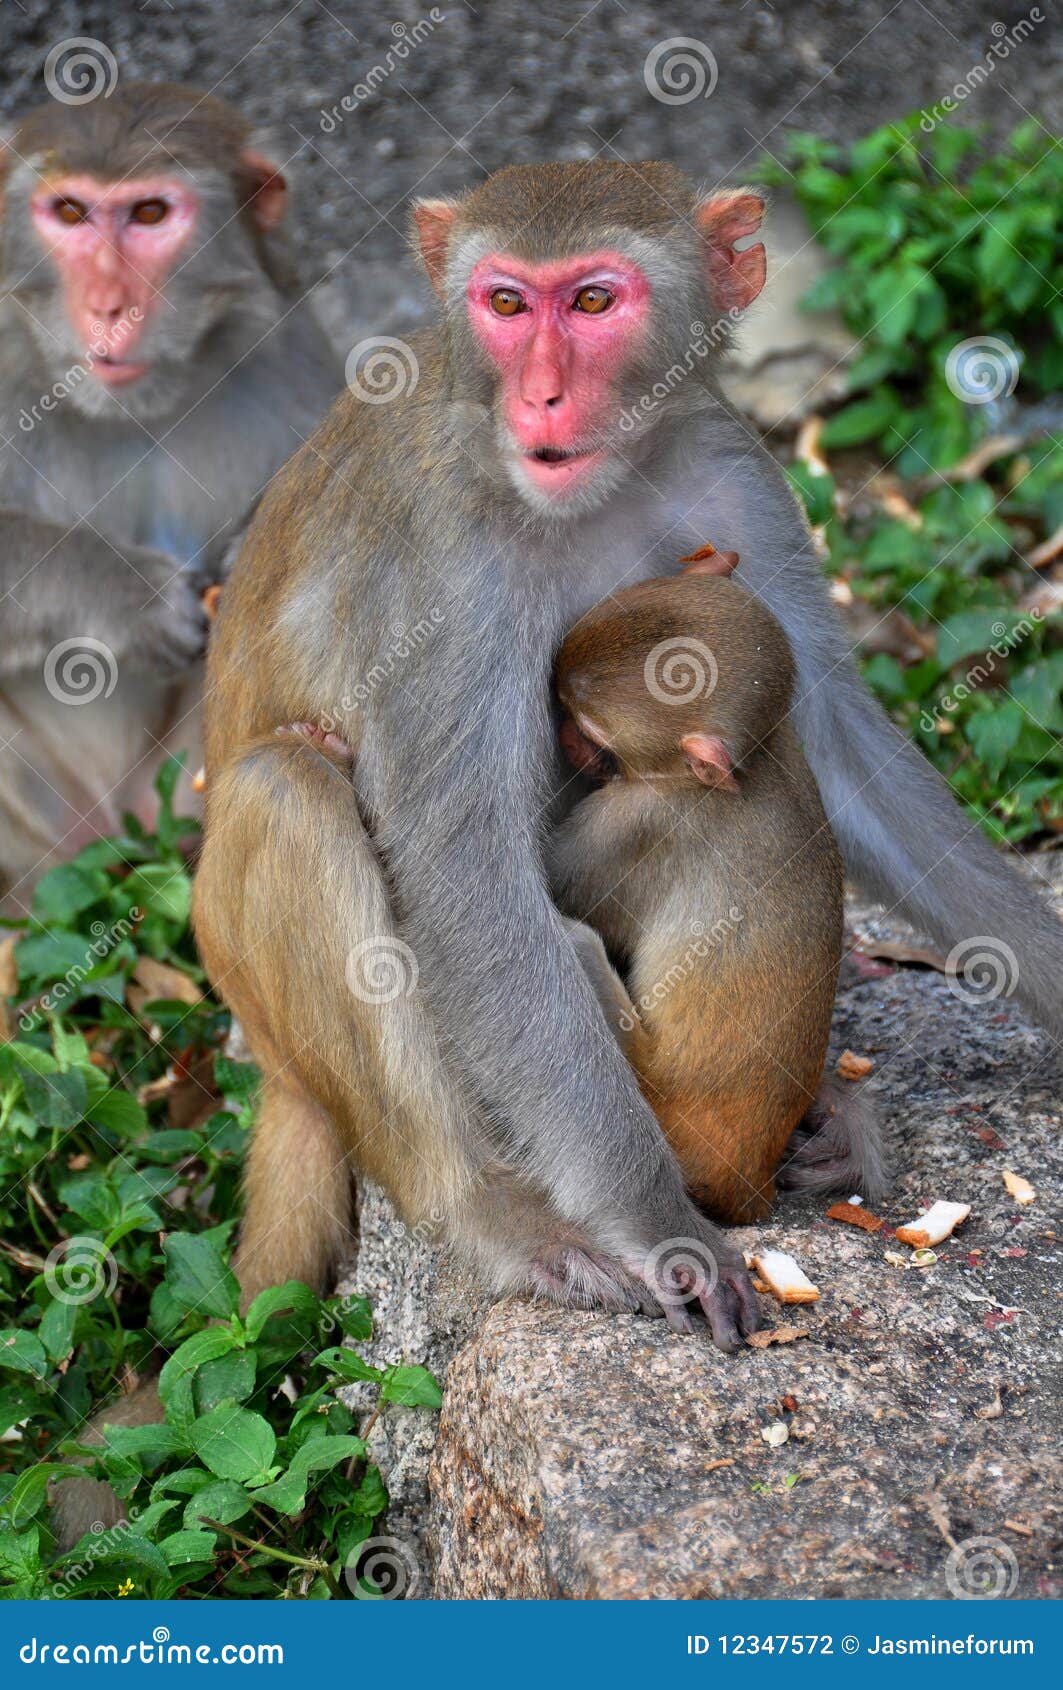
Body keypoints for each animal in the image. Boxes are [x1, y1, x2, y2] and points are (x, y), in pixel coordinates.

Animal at [0, 82, 339, 910]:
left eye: (150, 213)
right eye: (69, 212)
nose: (107, 304)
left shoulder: (290, 350)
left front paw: (253, 552)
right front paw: (127, 598)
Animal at [548, 567, 847, 1224]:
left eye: (589, 729)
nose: (564, 742)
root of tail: (748, 1180)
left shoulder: (635, 824)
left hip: (655, 1091)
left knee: (577, 942)